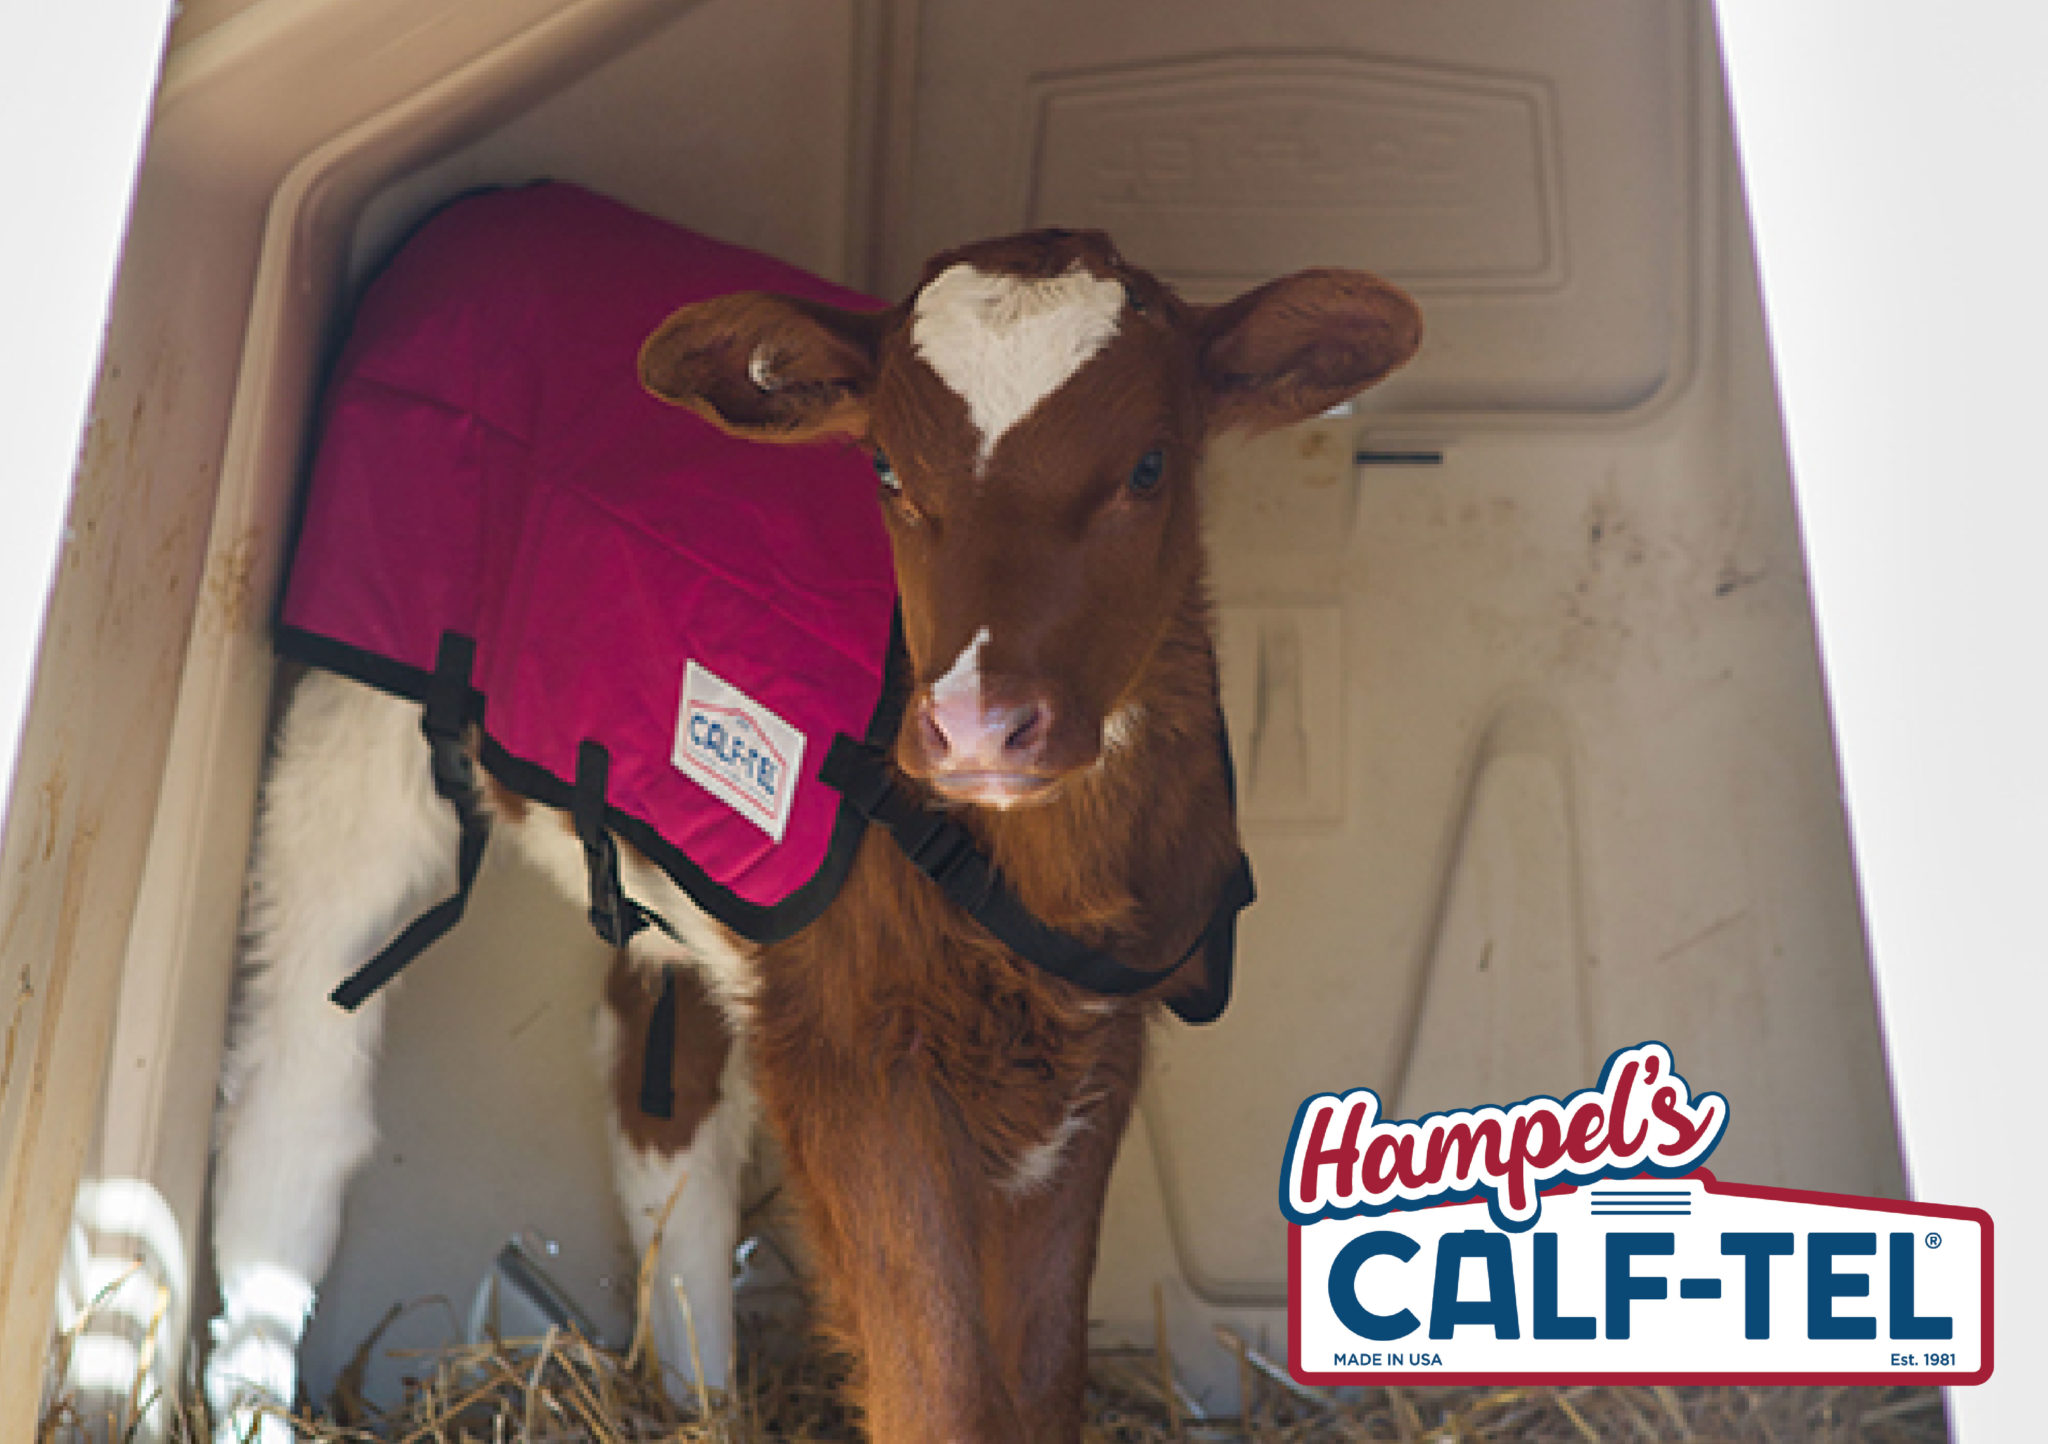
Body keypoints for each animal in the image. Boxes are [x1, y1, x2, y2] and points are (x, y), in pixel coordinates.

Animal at [203, 220, 1419, 1444]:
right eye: (883, 469)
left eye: (1150, 466)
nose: (980, 723)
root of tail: (485, 211)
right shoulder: (851, 1042)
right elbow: (937, 1386)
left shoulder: (1091, 1038)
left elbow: (1039, 1372)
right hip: (359, 731)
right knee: (295, 1089)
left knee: (662, 1085)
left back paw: (704, 1398)